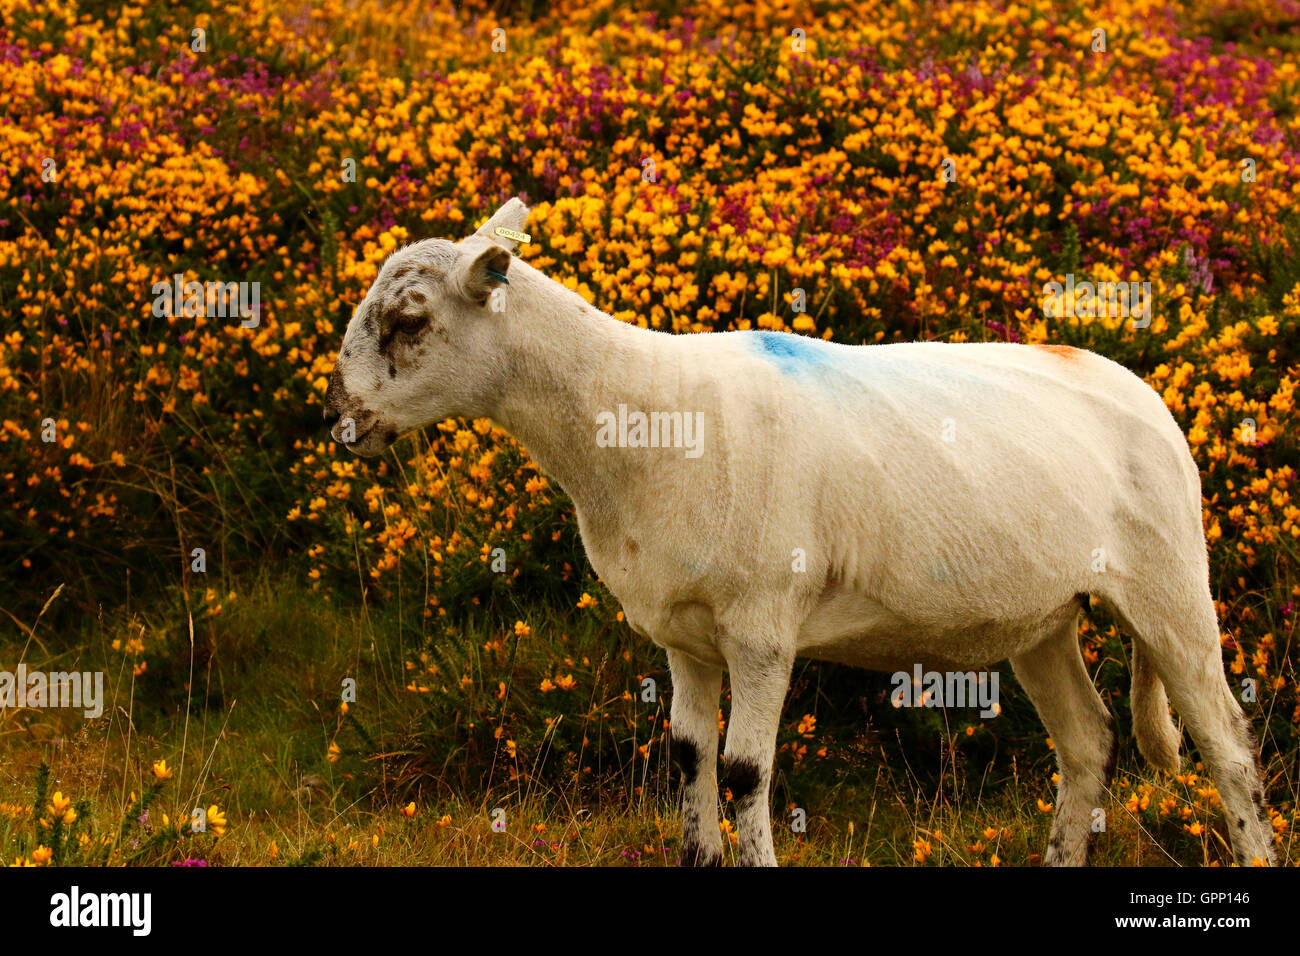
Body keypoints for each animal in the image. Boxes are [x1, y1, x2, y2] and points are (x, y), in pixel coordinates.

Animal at [323, 198, 1276, 867]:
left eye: (408, 321)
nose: (341, 423)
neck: (638, 415)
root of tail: (1134, 384)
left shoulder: (762, 624)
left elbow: (744, 771)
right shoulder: (685, 634)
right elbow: (687, 757)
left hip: (1169, 580)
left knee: (1228, 743)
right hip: (1042, 615)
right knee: (1087, 742)